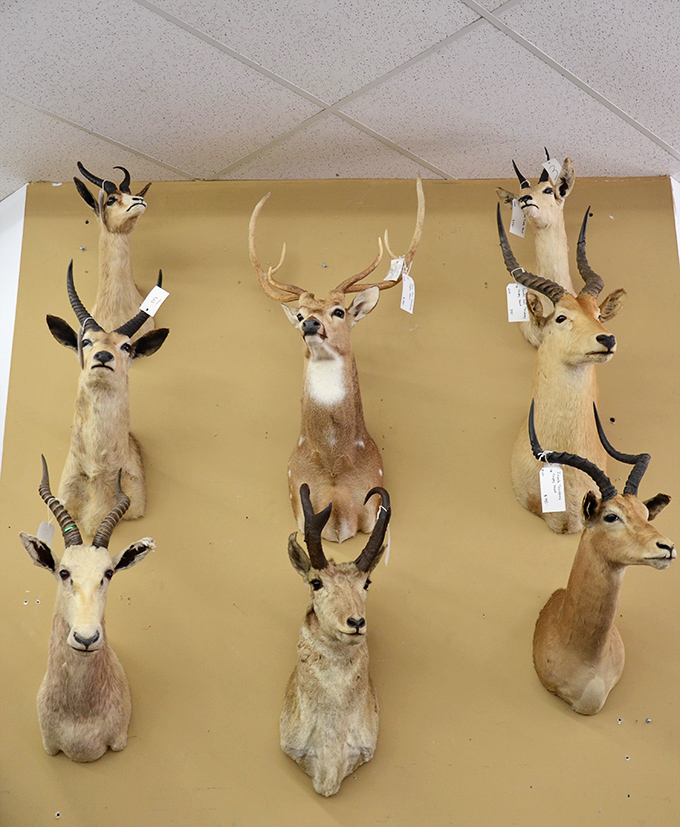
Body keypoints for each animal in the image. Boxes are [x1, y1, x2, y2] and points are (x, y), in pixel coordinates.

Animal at [20, 456, 154, 761]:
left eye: (108, 573)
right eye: (64, 572)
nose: (86, 638)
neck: (79, 718)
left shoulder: (118, 743)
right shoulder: (50, 747)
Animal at [249, 179, 423, 543]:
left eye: (339, 311)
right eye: (300, 314)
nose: (310, 324)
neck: (333, 464)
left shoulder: (374, 500)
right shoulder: (297, 497)